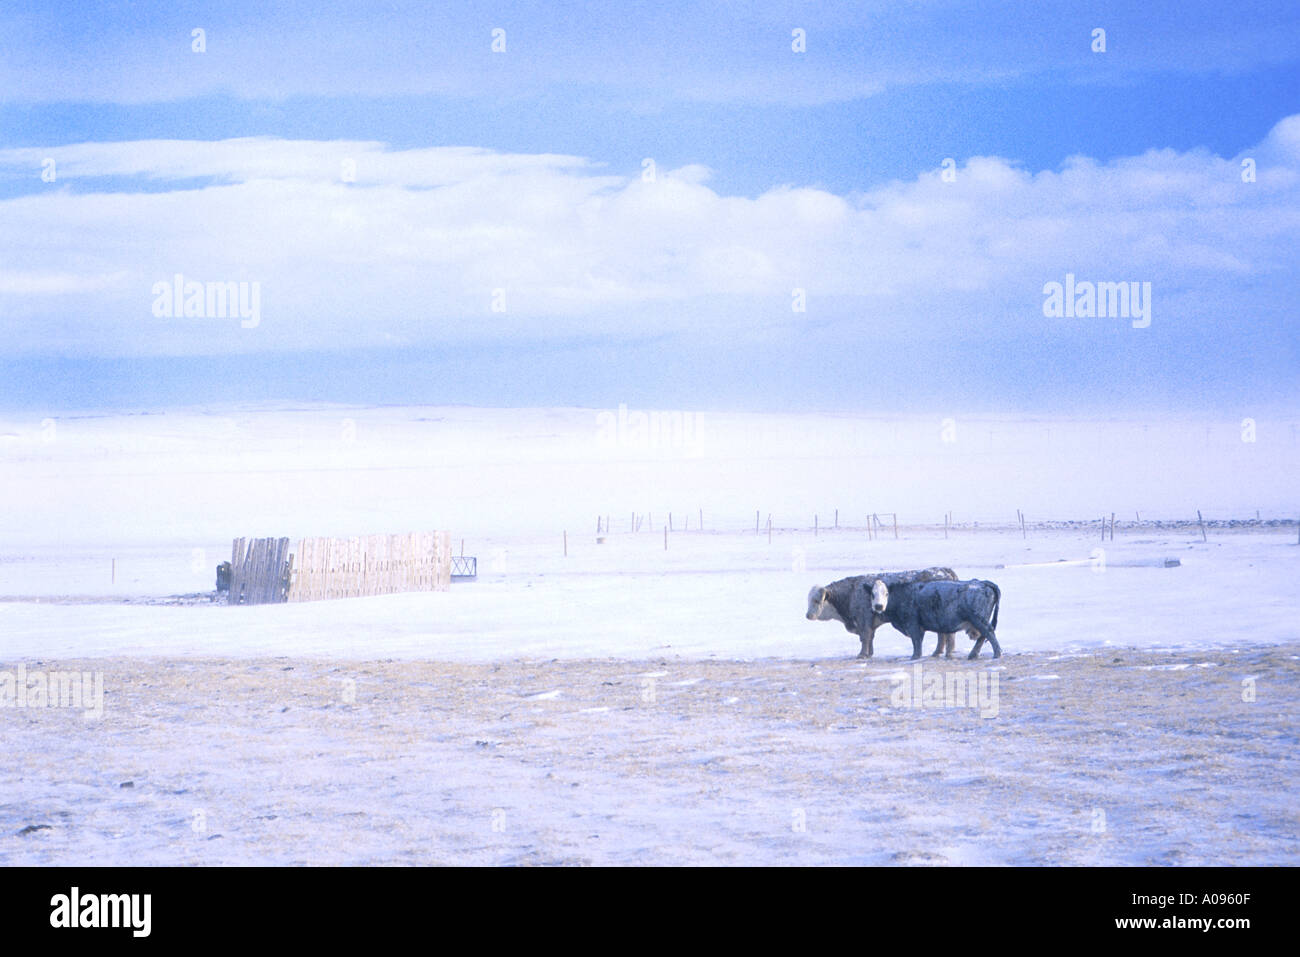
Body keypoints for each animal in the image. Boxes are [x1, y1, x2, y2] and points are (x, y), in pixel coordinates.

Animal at [806, 567, 958, 659]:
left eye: (816, 600)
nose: (808, 615)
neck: (851, 592)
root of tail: (943, 570)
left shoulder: (864, 620)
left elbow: (865, 637)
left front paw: (862, 654)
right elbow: (870, 638)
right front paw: (869, 654)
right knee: (942, 634)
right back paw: (937, 652)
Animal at [869, 578, 1002, 660]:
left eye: (886, 593)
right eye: (872, 594)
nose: (878, 606)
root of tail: (982, 582)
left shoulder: (913, 624)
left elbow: (916, 641)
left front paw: (915, 657)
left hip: (979, 619)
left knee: (988, 633)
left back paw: (997, 654)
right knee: (983, 636)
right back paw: (973, 655)